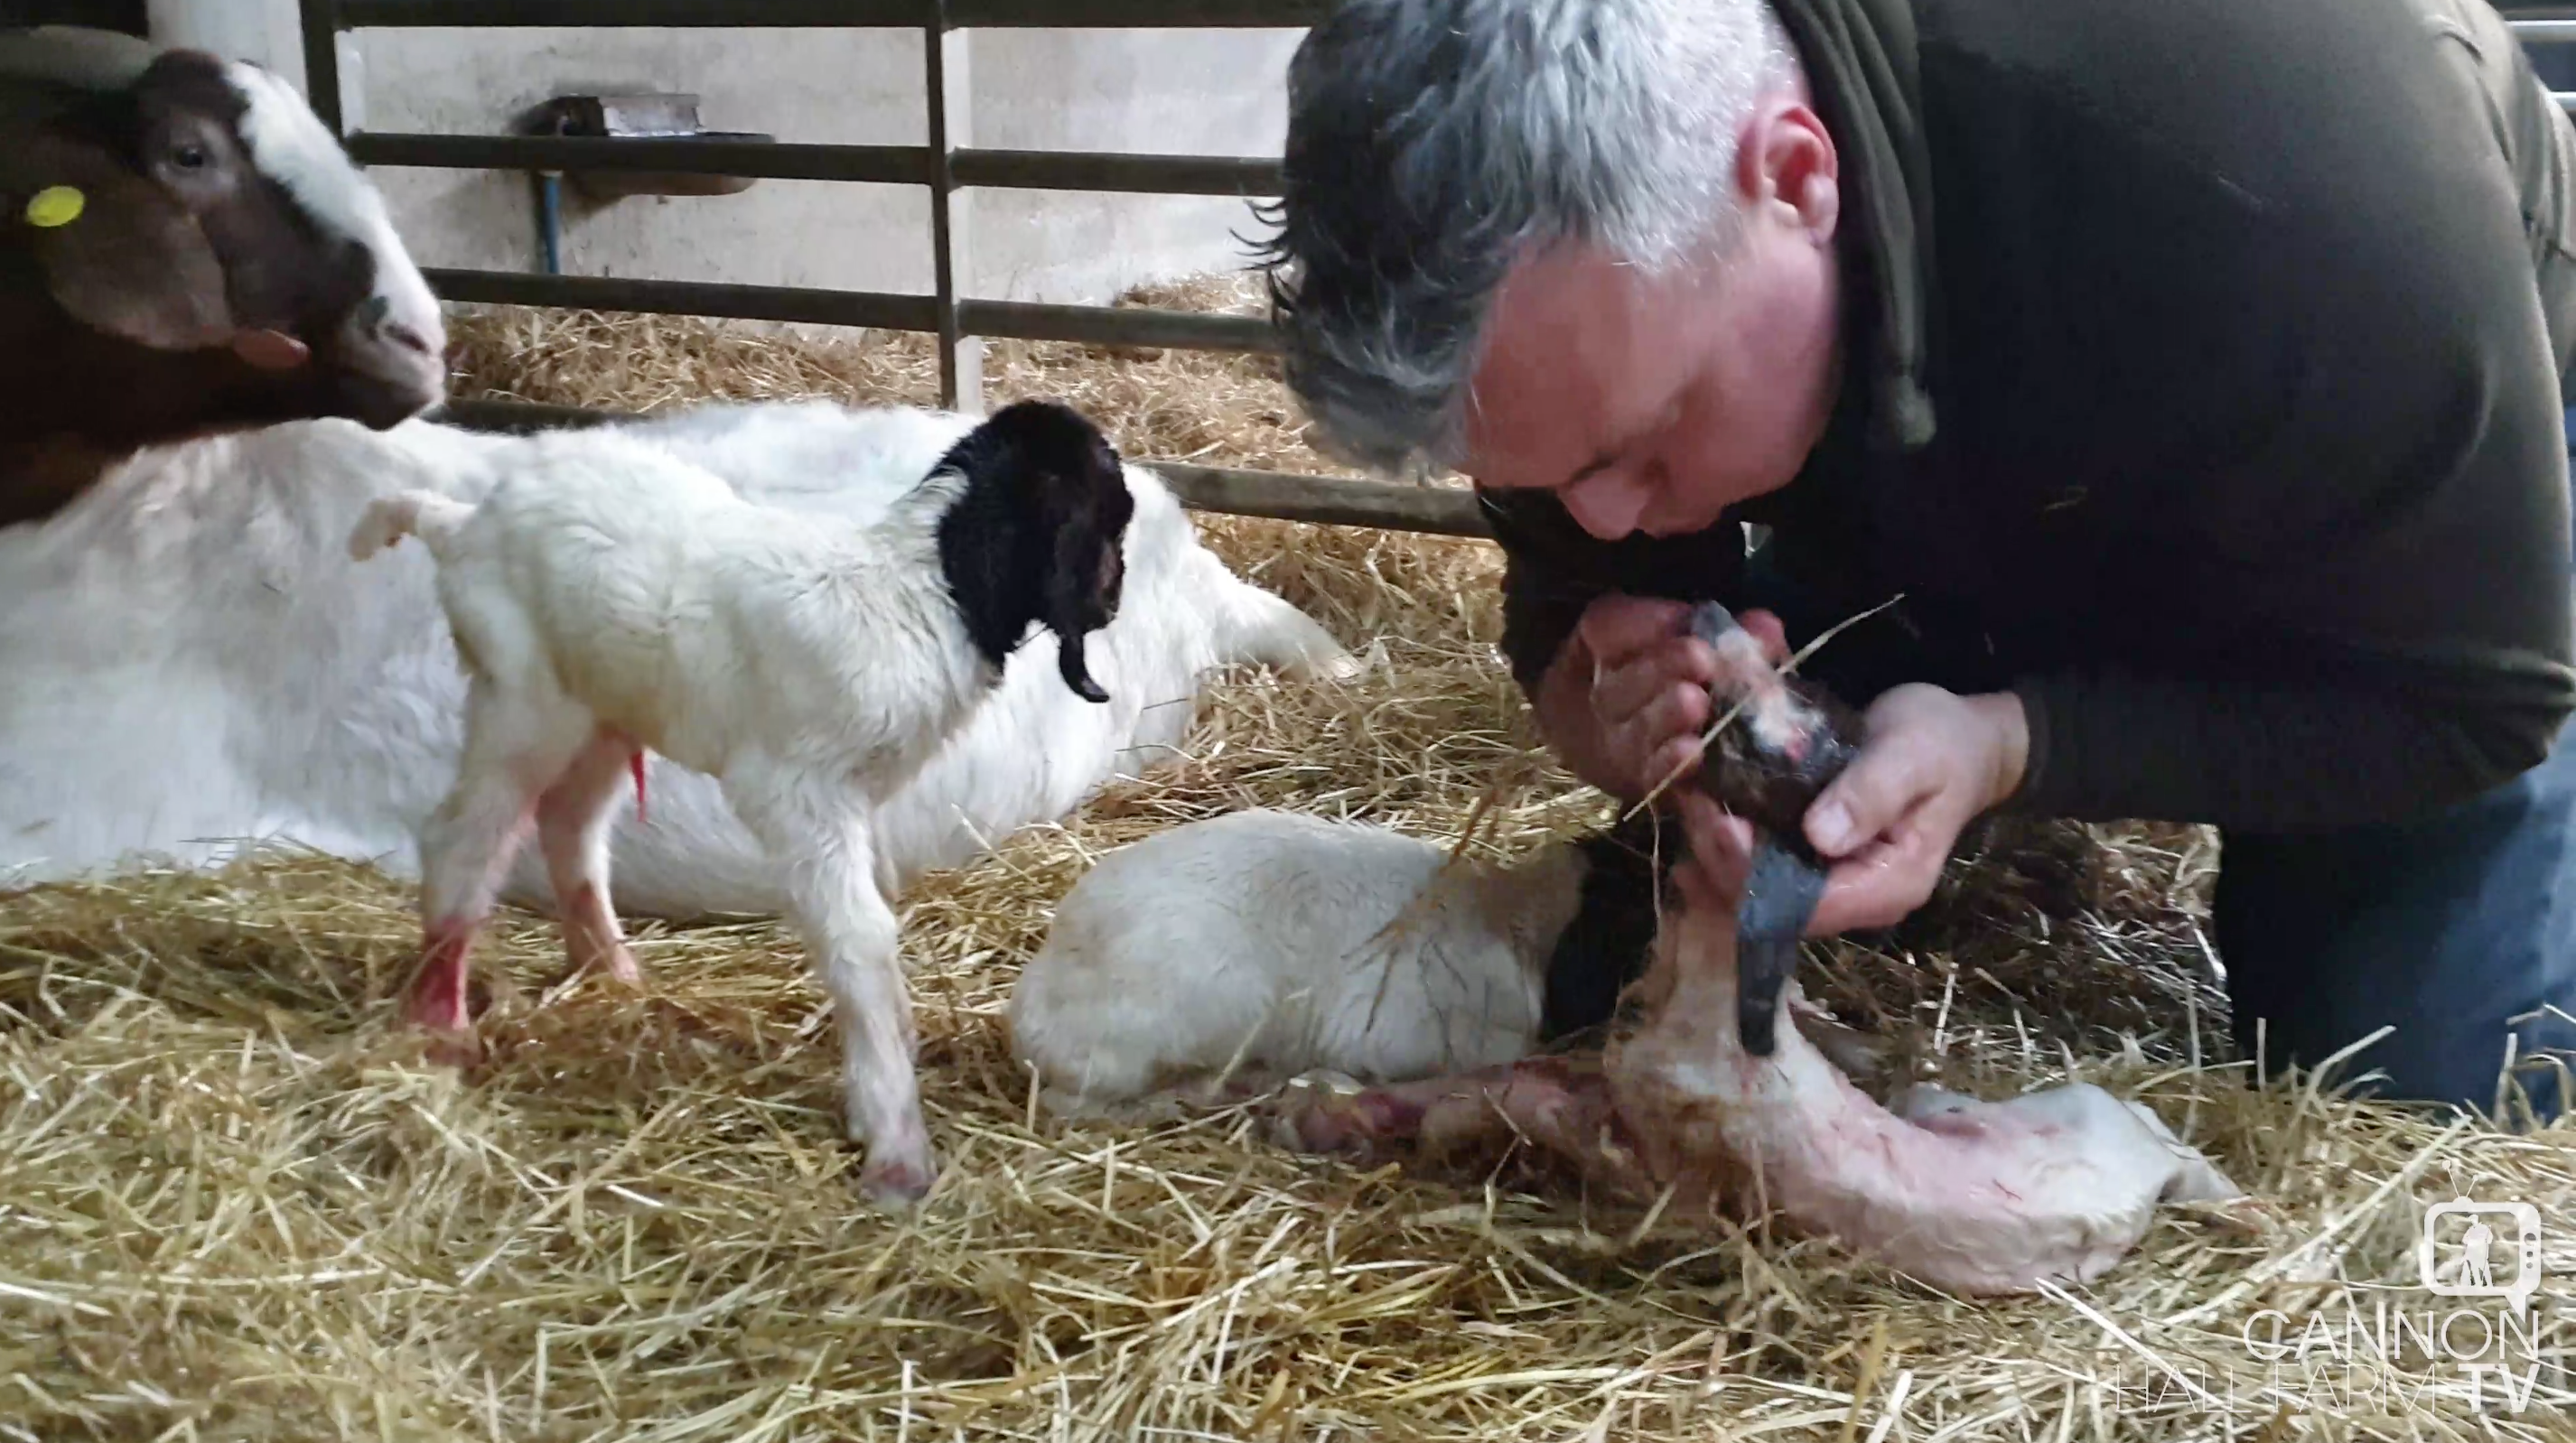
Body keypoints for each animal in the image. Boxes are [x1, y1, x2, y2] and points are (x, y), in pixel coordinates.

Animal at [351, 399, 1136, 1206]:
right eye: (1111, 517)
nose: (1112, 599)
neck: (916, 591)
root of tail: (461, 523)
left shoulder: (860, 801)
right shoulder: (798, 793)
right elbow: (860, 938)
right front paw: (894, 1147)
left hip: (610, 705)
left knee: (570, 822)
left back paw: (610, 971)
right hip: (522, 696)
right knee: (464, 834)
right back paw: (439, 1020)